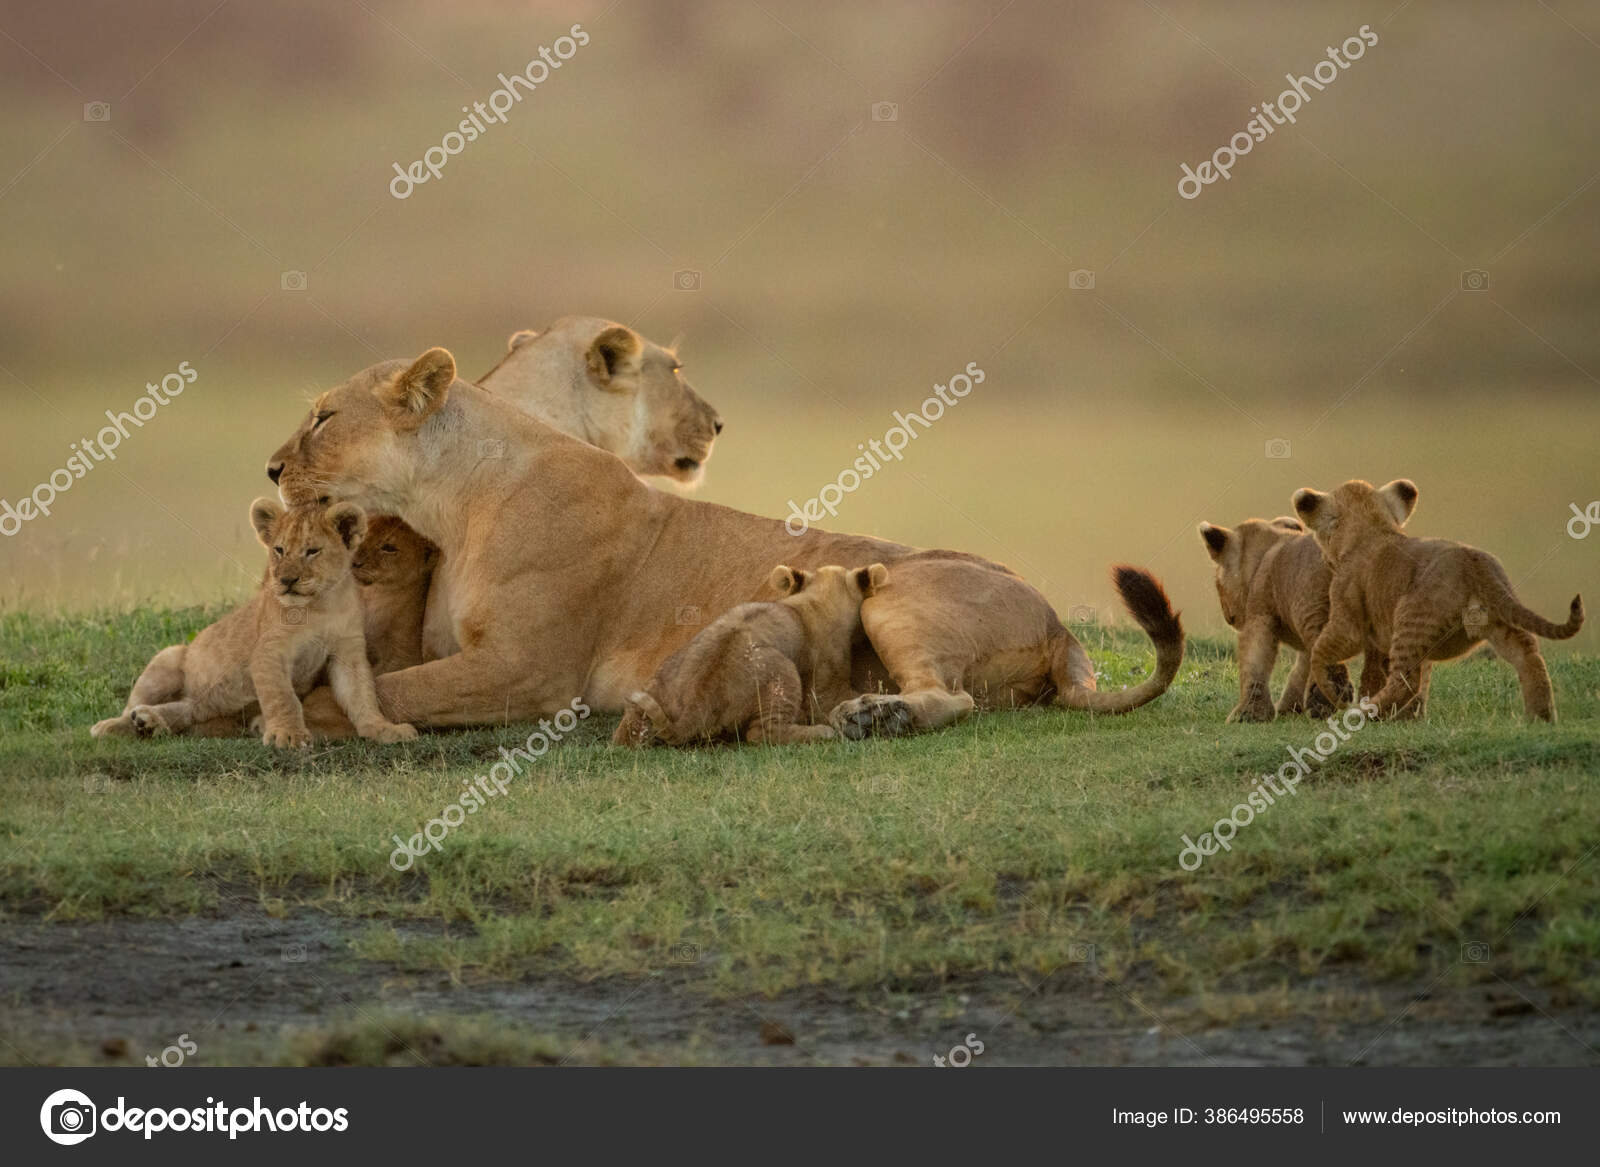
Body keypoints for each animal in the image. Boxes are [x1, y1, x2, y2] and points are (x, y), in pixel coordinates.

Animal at [90, 498, 418, 748]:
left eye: (312, 551)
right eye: (279, 550)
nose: (286, 580)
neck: (321, 605)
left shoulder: (347, 653)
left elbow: (362, 695)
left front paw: (383, 729)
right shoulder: (268, 652)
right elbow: (282, 696)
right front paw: (288, 735)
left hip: (204, 703)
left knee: (187, 709)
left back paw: (150, 722)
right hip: (168, 657)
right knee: (134, 704)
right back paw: (116, 725)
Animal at [614, 563, 888, 747]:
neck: (818, 598)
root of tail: (697, 701)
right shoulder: (825, 683)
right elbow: (836, 698)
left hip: (661, 678)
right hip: (783, 672)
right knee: (761, 733)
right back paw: (819, 732)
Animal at [1198, 515, 1383, 721]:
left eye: (1217, 583)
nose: (1228, 617)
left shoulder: (1260, 618)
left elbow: (1254, 663)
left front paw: (1248, 714)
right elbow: (1300, 670)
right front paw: (1289, 707)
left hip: (1317, 611)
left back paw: (1328, 697)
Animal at [1292, 478, 1584, 721]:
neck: (1372, 529)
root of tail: (1474, 563)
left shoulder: (1347, 620)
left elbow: (1320, 650)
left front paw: (1330, 691)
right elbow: (1420, 678)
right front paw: (1410, 717)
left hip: (1411, 619)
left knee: (1403, 681)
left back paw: (1360, 714)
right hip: (1499, 619)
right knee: (1528, 656)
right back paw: (1540, 717)